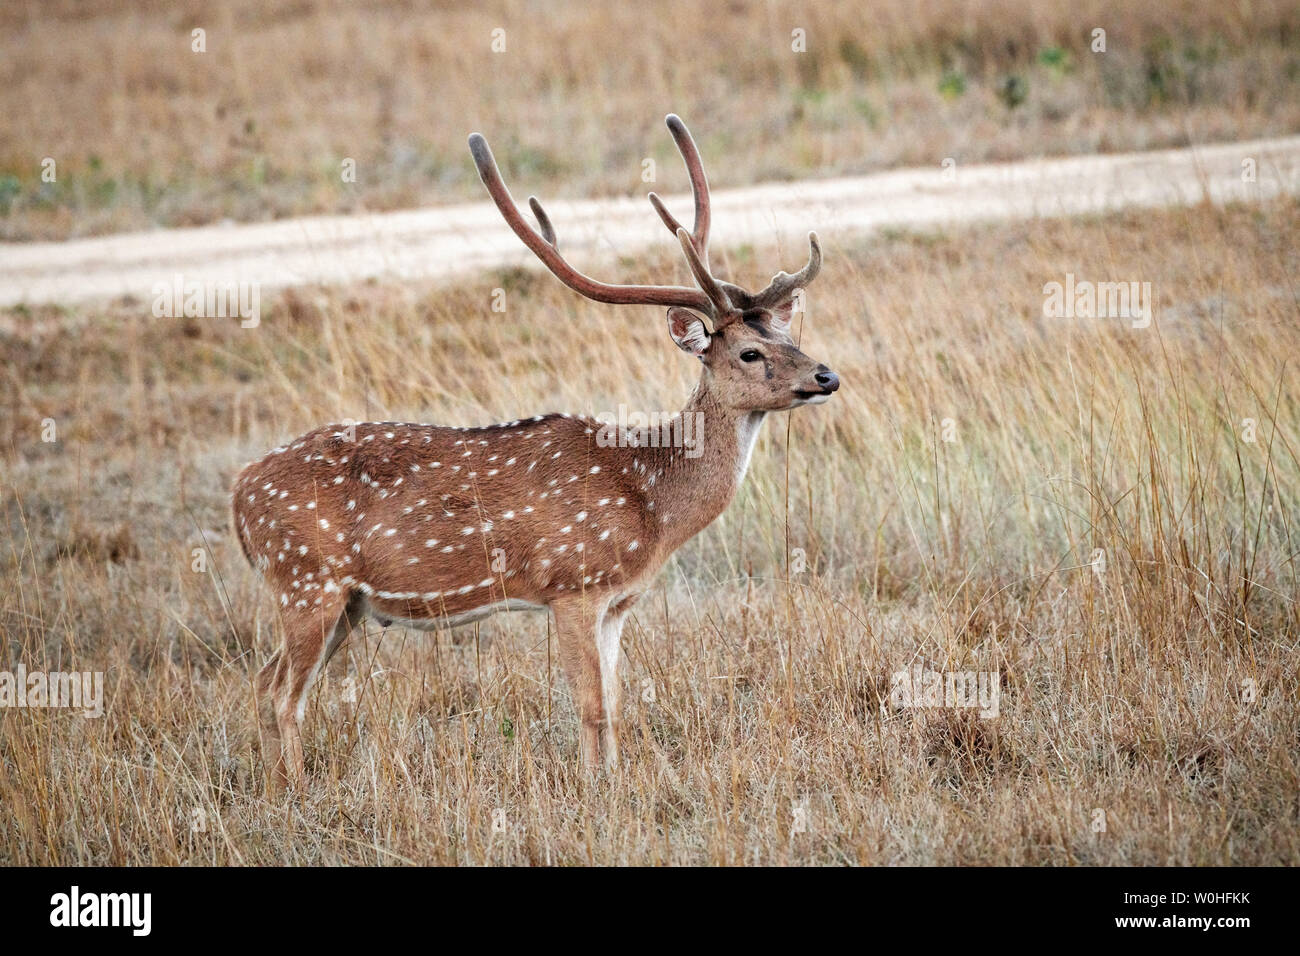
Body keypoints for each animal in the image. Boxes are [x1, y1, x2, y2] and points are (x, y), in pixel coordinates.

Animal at [232, 114, 839, 793]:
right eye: (748, 353)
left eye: (789, 333)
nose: (826, 376)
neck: (651, 502)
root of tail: (239, 494)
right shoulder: (572, 583)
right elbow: (592, 706)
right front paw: (598, 795)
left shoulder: (616, 603)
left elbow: (615, 703)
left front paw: (615, 785)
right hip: (304, 578)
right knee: (282, 692)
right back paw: (293, 791)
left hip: (344, 603)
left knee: (264, 681)